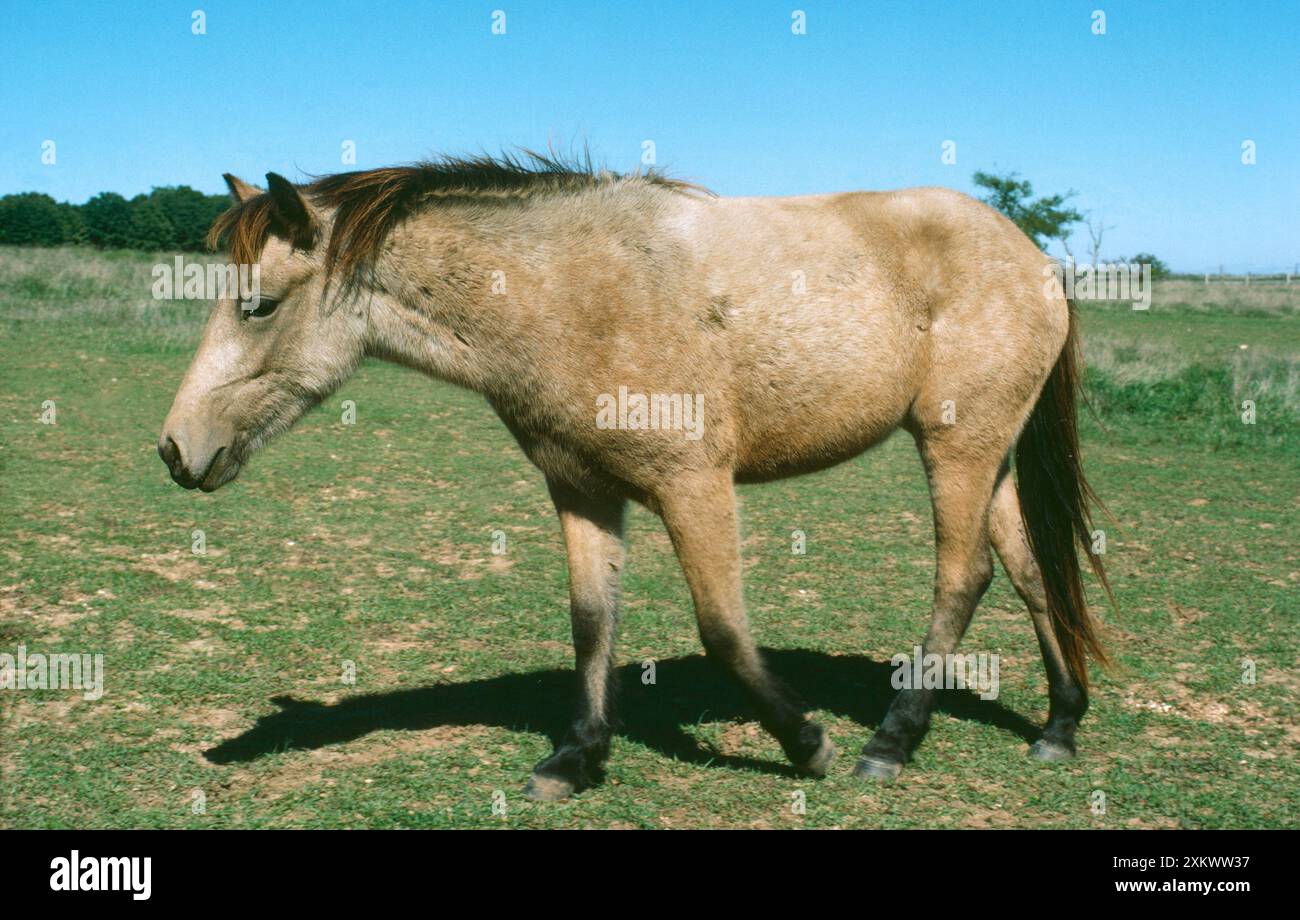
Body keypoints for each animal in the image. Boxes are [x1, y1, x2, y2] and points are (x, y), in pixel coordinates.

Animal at [157, 151, 1111, 799]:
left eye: (259, 306)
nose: (175, 449)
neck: (573, 293)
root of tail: (1033, 257)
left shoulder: (695, 486)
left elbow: (722, 628)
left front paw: (805, 742)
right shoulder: (582, 490)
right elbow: (591, 621)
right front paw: (576, 757)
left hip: (957, 447)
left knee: (963, 575)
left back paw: (892, 739)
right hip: (986, 456)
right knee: (1029, 572)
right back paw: (1060, 724)